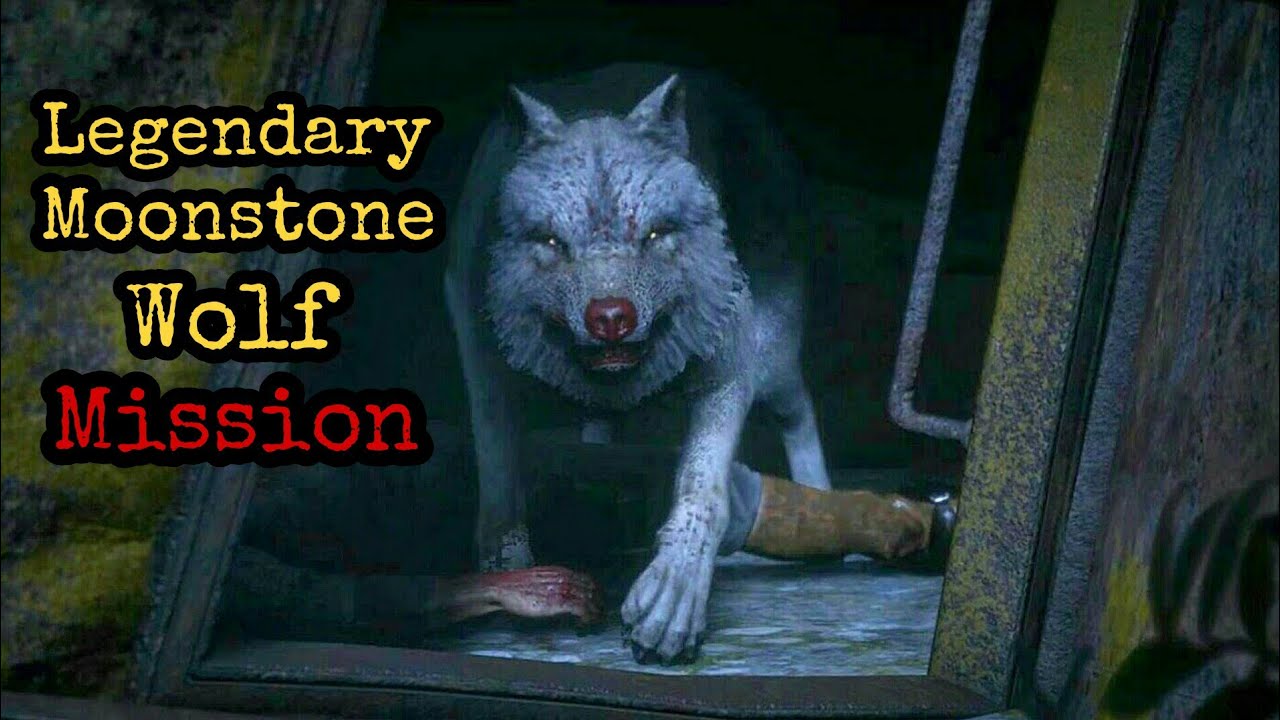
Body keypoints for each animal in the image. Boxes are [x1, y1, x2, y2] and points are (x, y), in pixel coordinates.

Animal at [444, 63, 831, 664]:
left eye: (654, 234)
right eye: (551, 241)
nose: (611, 317)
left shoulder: (729, 369)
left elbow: (703, 489)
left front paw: (672, 600)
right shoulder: (482, 359)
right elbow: (500, 480)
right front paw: (514, 580)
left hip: (776, 361)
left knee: (799, 412)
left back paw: (820, 502)